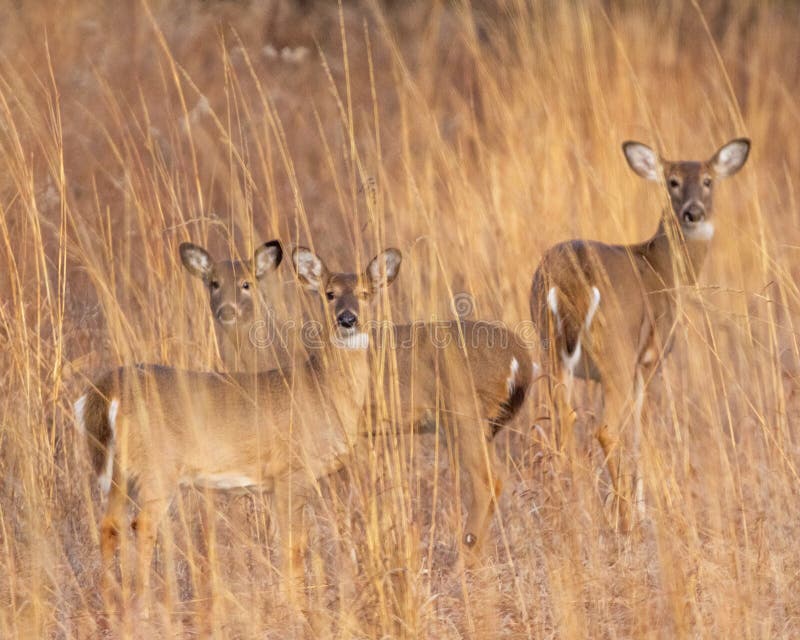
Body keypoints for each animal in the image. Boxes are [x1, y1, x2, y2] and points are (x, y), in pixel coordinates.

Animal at [73, 246, 402, 615]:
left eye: (366, 293)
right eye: (329, 294)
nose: (348, 319)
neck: (322, 391)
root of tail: (104, 390)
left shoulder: (274, 484)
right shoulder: (293, 472)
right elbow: (294, 545)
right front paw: (296, 607)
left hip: (122, 473)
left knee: (109, 526)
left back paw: (109, 601)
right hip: (157, 466)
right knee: (141, 525)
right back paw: (143, 605)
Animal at [530, 138, 750, 530]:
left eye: (707, 180)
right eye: (672, 181)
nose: (693, 213)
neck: (663, 269)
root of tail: (568, 279)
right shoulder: (649, 360)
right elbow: (640, 431)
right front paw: (646, 508)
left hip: (550, 347)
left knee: (562, 420)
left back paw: (567, 508)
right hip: (616, 350)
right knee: (605, 429)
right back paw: (623, 517)